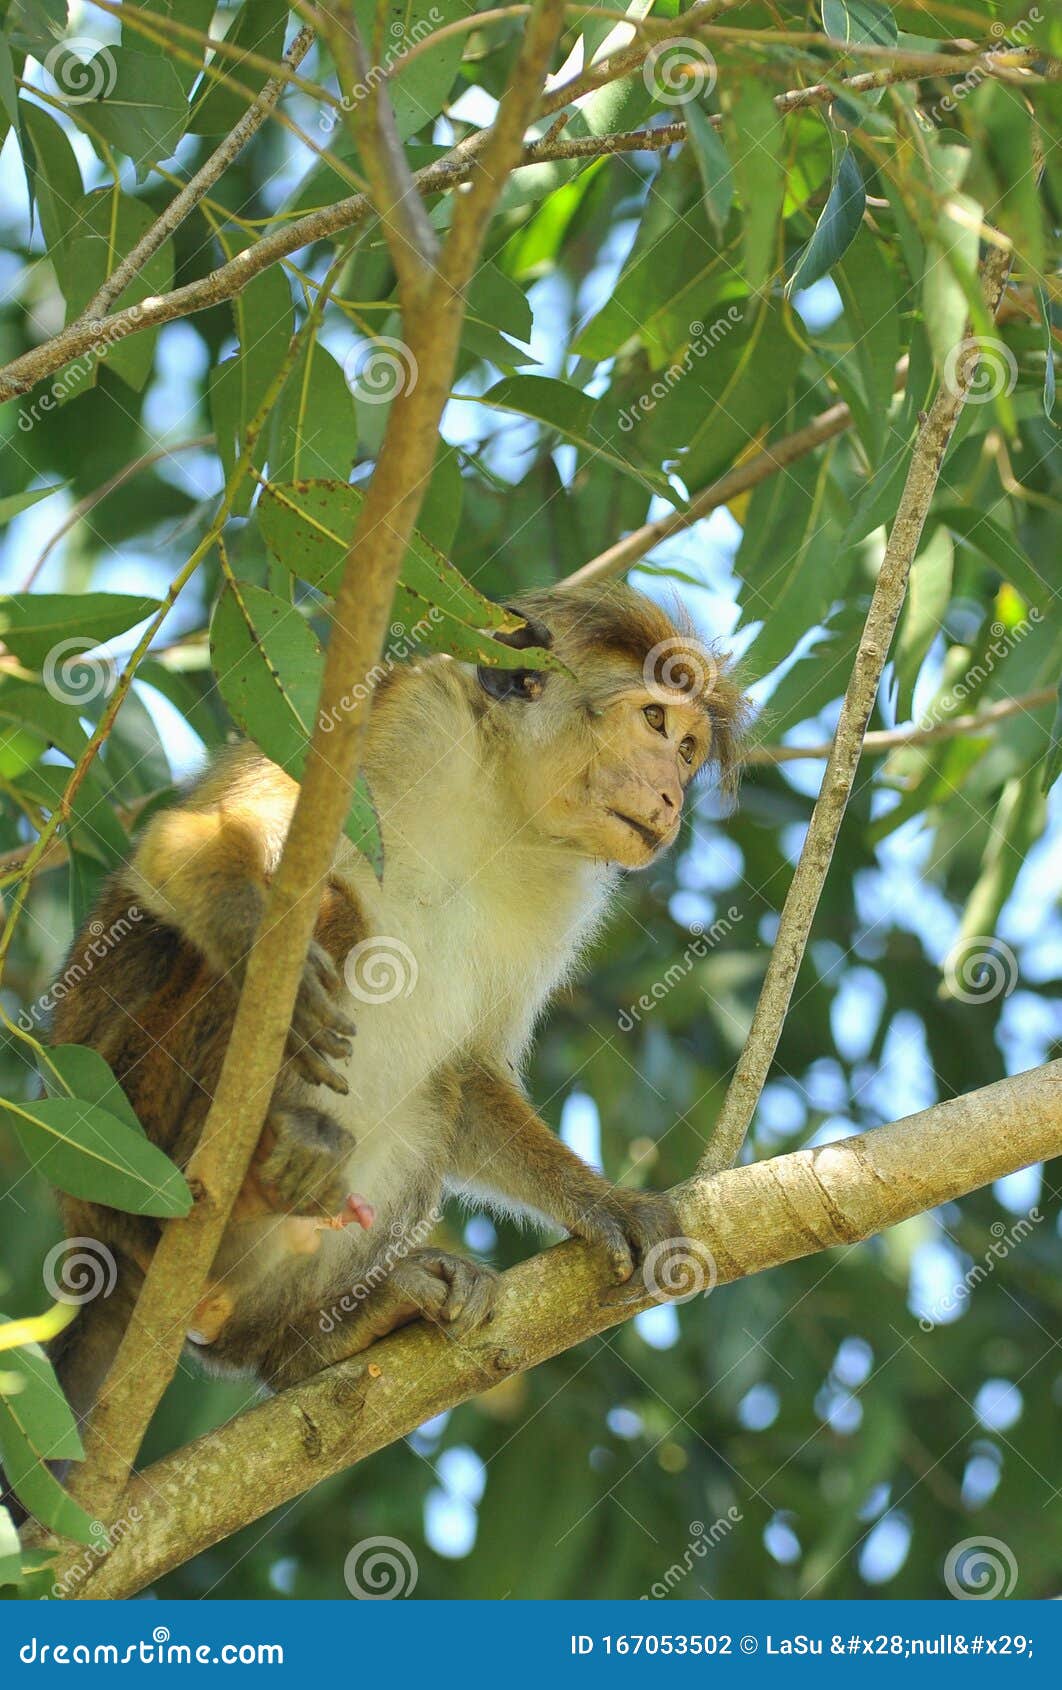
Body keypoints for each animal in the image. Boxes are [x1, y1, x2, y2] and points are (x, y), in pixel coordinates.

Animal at [43, 582, 746, 1423]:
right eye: (654, 722)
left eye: (688, 750)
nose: (671, 796)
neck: (497, 803)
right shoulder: (402, 716)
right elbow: (187, 843)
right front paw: (252, 938)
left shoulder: (566, 891)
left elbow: (471, 1072)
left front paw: (601, 1202)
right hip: (131, 1134)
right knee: (331, 911)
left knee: (432, 1093)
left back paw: (304, 1337)